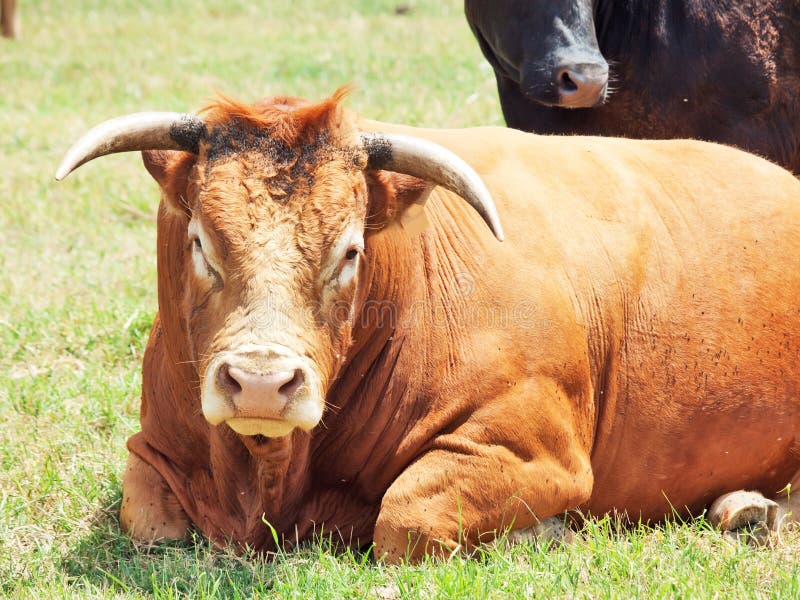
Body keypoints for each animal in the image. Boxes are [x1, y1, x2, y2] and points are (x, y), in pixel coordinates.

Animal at [56, 89, 800, 562]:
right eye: (202, 243)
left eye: (349, 250)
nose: (262, 384)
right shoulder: (151, 450)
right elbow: (151, 523)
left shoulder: (535, 451)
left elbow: (406, 520)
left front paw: (543, 532)